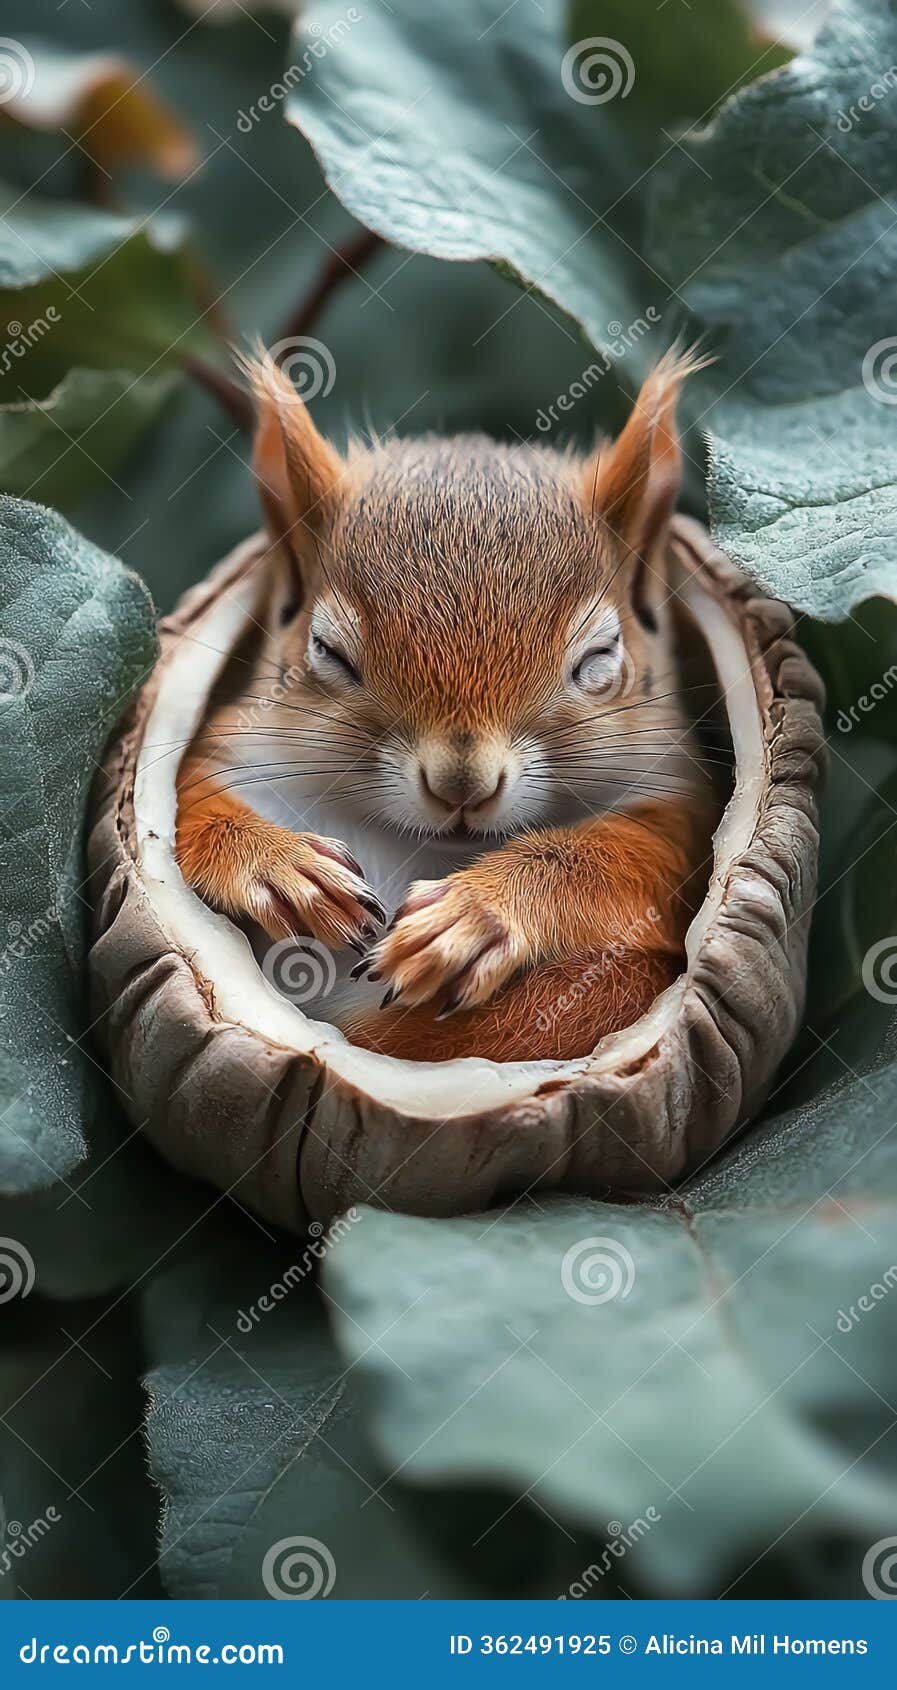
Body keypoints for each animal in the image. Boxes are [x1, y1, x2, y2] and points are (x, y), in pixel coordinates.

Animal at [174, 345, 719, 1064]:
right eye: (328, 651)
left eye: (600, 657)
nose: (462, 786)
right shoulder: (240, 751)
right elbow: (190, 805)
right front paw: (284, 868)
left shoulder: (676, 804)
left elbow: (625, 863)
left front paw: (476, 914)